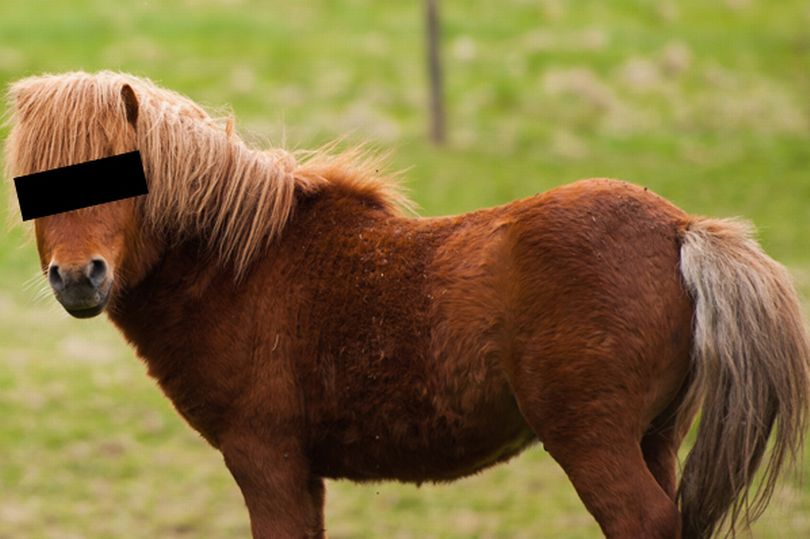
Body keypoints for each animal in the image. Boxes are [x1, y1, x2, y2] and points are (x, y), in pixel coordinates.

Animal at [4, 71, 809, 539]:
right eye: (29, 177)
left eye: (122, 172)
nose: (78, 277)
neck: (241, 264)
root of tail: (681, 231)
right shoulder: (298, 471)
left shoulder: (265, 459)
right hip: (654, 438)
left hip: (594, 442)